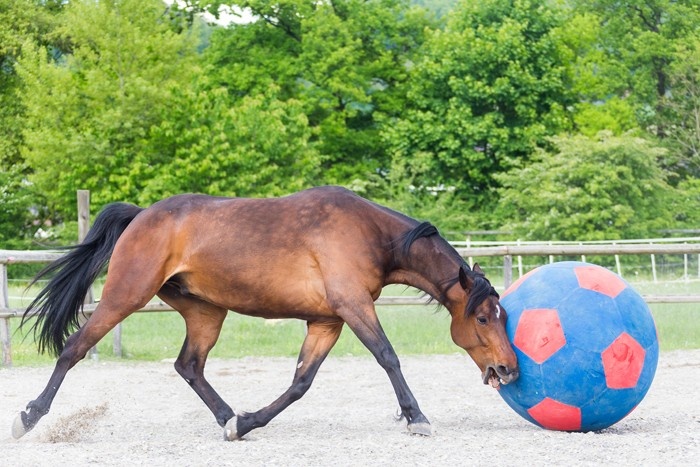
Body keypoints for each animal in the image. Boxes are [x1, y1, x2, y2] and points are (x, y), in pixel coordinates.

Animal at [13, 186, 518, 441]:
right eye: (483, 318)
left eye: (503, 316)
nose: (509, 370)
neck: (370, 234)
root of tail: (141, 216)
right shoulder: (354, 306)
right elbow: (388, 357)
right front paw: (416, 418)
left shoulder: (327, 321)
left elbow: (300, 382)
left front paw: (248, 421)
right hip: (126, 295)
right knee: (73, 348)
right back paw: (30, 416)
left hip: (206, 312)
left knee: (188, 365)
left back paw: (227, 419)